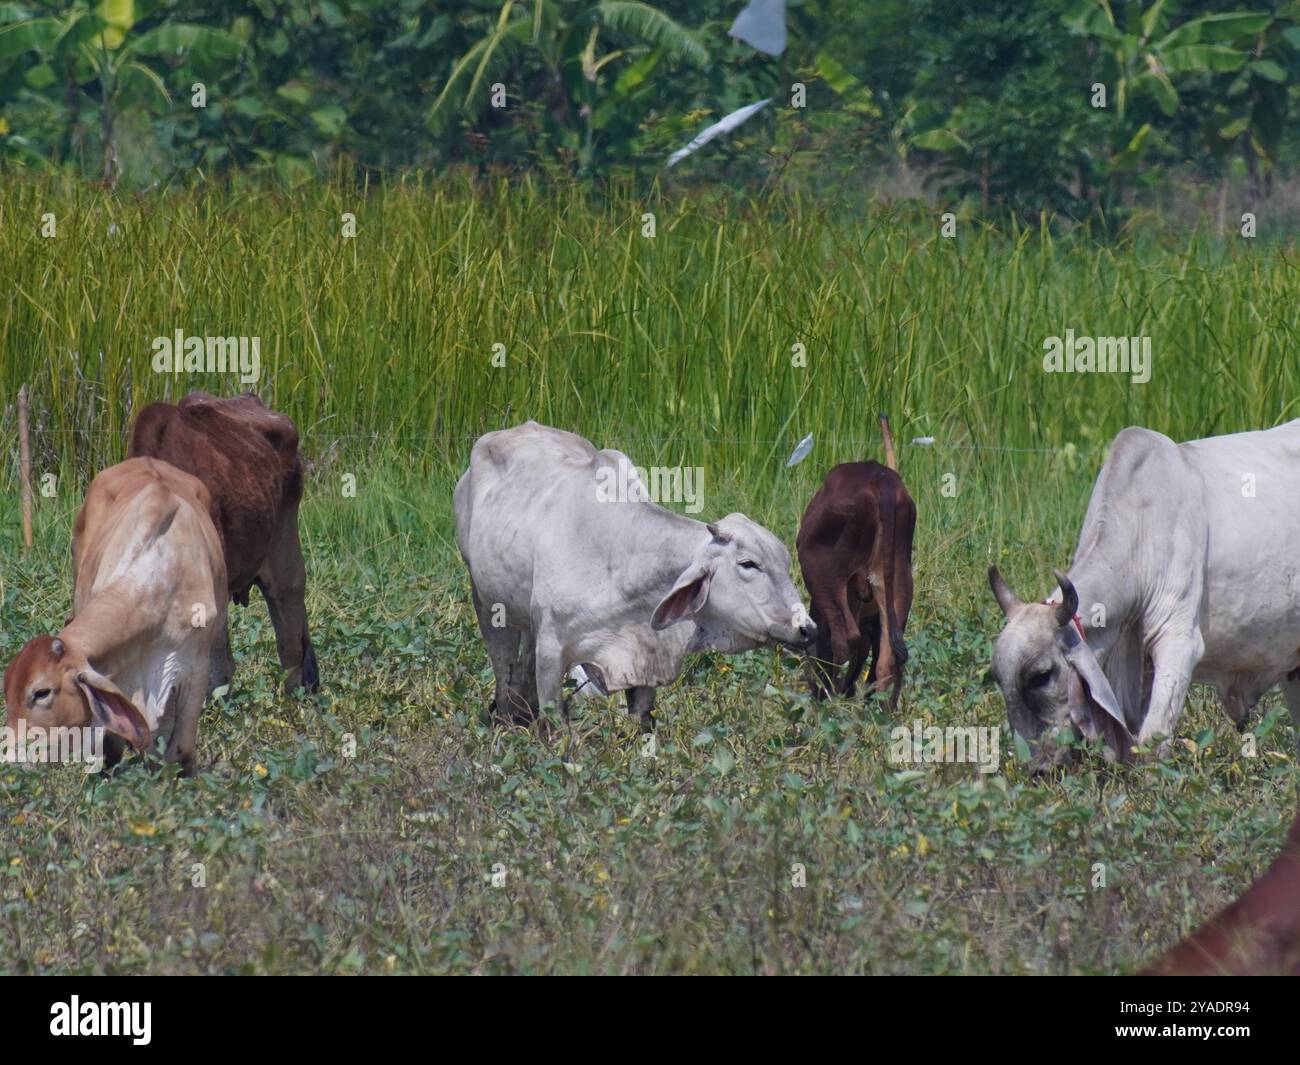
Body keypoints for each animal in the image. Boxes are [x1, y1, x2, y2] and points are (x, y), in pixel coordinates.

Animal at [454, 421, 817, 729]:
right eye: (749, 564)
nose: (808, 629)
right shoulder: (551, 652)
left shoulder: (646, 661)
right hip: (487, 602)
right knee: (504, 667)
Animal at [796, 414, 915, 708]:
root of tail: (882, 481)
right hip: (899, 584)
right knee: (887, 659)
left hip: (824, 575)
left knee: (846, 638)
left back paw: (830, 699)